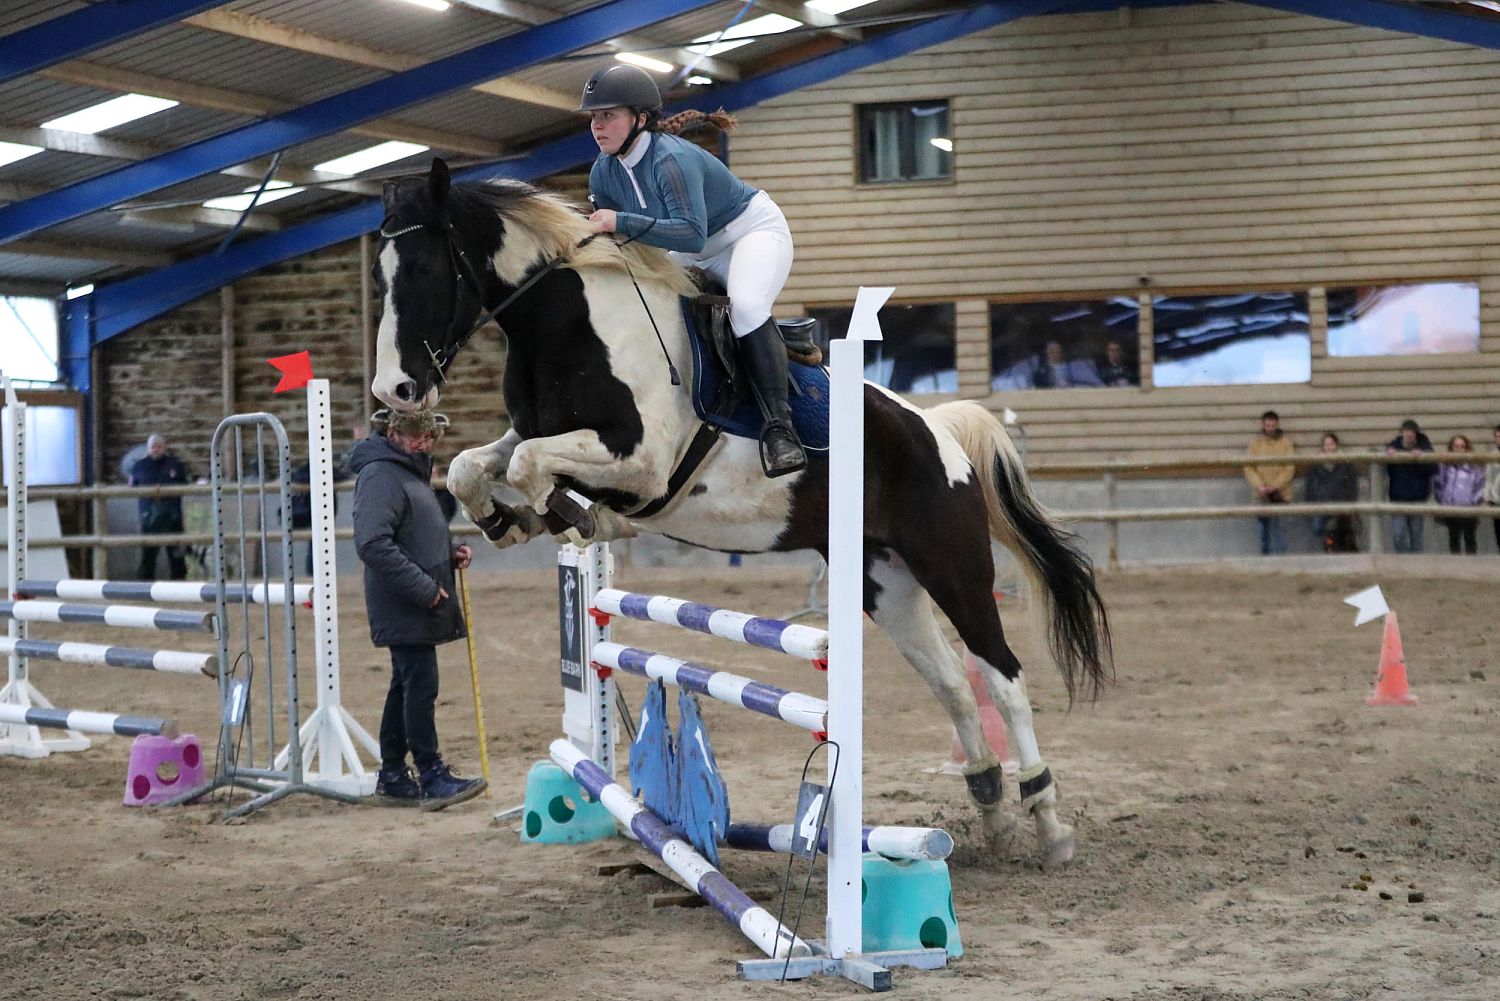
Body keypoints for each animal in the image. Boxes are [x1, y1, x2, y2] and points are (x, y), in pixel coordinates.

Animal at [370, 159, 1111, 868]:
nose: (395, 392)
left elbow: (533, 468)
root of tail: (935, 427)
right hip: (885, 580)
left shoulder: (642, 464)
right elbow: (477, 465)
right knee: (954, 684)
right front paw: (514, 520)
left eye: (426, 268)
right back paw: (993, 814)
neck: (568, 328)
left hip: (951, 564)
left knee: (1003, 678)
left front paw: (575, 517)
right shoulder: (540, 437)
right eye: (379, 275)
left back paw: (1048, 824)